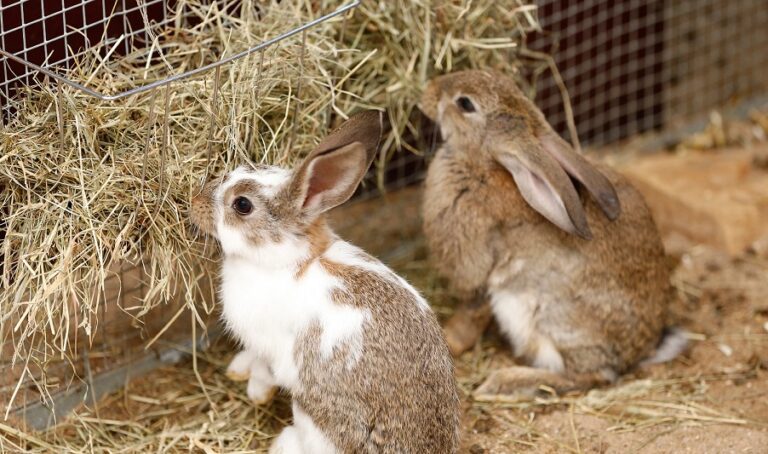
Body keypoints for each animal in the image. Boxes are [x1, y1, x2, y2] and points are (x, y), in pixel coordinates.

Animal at [190, 110, 460, 453]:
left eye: (242, 205)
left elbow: (266, 370)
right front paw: (238, 369)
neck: (286, 262)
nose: (194, 202)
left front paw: (256, 393)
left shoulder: (273, 348)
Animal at [419, 70, 687, 399]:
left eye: (465, 103)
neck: (482, 166)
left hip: (555, 321)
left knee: (591, 377)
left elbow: (470, 314)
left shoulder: (476, 268)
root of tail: (640, 352)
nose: (428, 91)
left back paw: (504, 381)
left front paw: (451, 342)